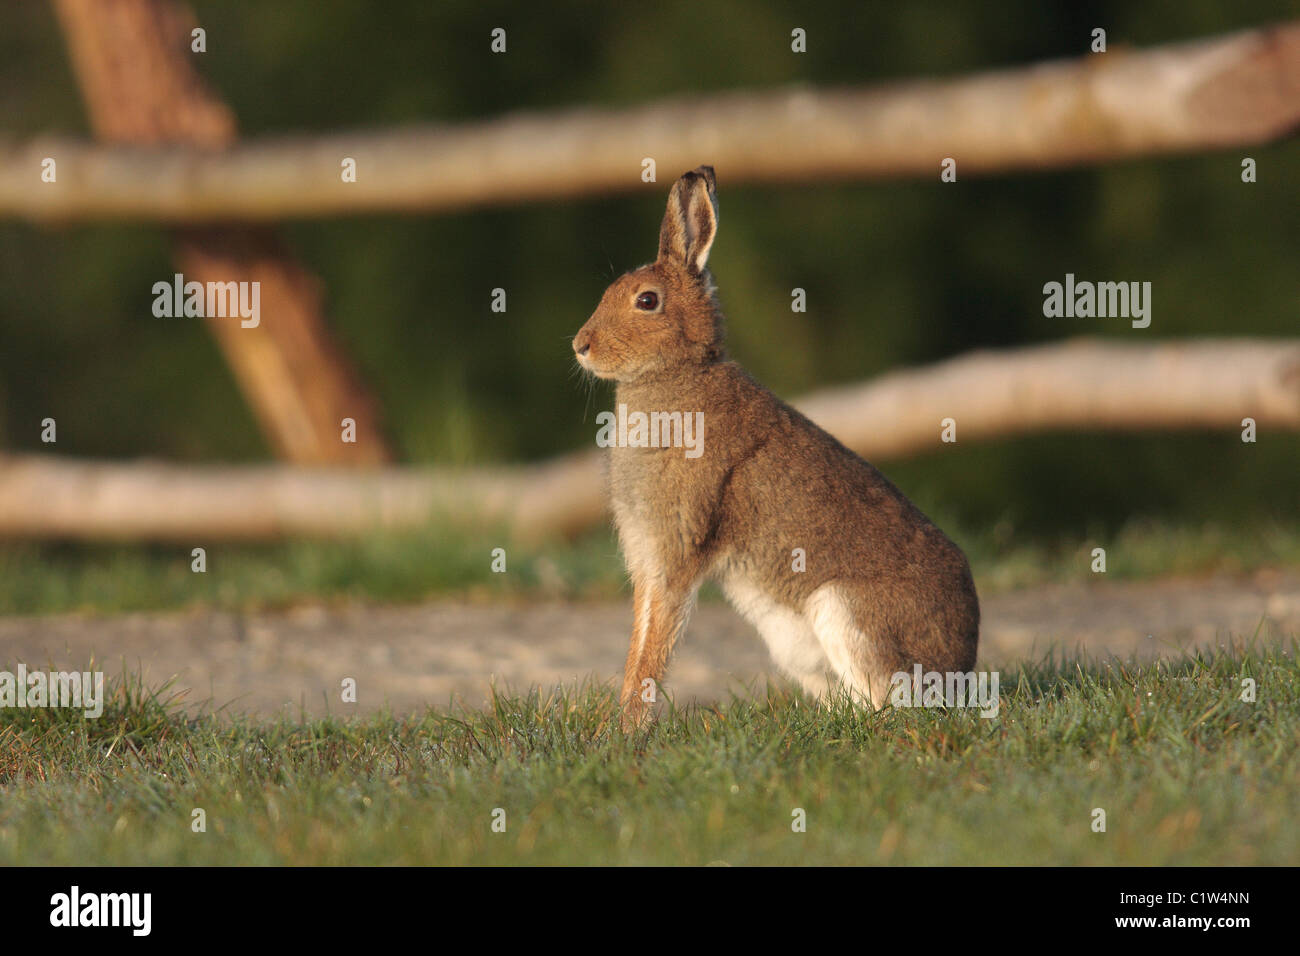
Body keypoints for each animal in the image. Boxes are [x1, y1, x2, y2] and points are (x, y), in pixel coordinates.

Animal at [572, 166, 979, 730]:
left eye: (646, 300)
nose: (580, 346)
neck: (680, 372)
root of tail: (962, 666)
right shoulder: (649, 559)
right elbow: (641, 636)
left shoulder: (676, 549)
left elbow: (657, 644)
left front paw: (629, 730)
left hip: (844, 612)